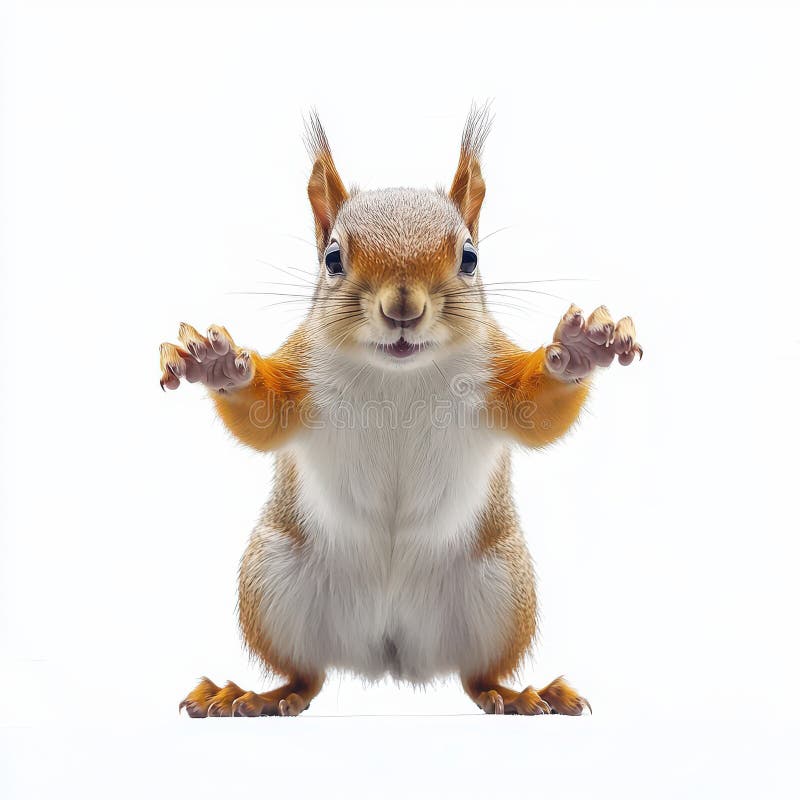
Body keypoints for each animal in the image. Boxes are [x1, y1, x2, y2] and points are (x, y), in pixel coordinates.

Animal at [161, 108, 642, 717]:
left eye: (469, 257)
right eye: (333, 258)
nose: (403, 307)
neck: (400, 377)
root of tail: (387, 653)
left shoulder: (492, 376)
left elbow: (537, 416)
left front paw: (579, 350)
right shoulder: (304, 377)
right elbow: (264, 420)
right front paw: (221, 363)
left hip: (503, 590)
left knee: (475, 675)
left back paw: (518, 694)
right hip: (272, 582)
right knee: (307, 674)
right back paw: (259, 696)